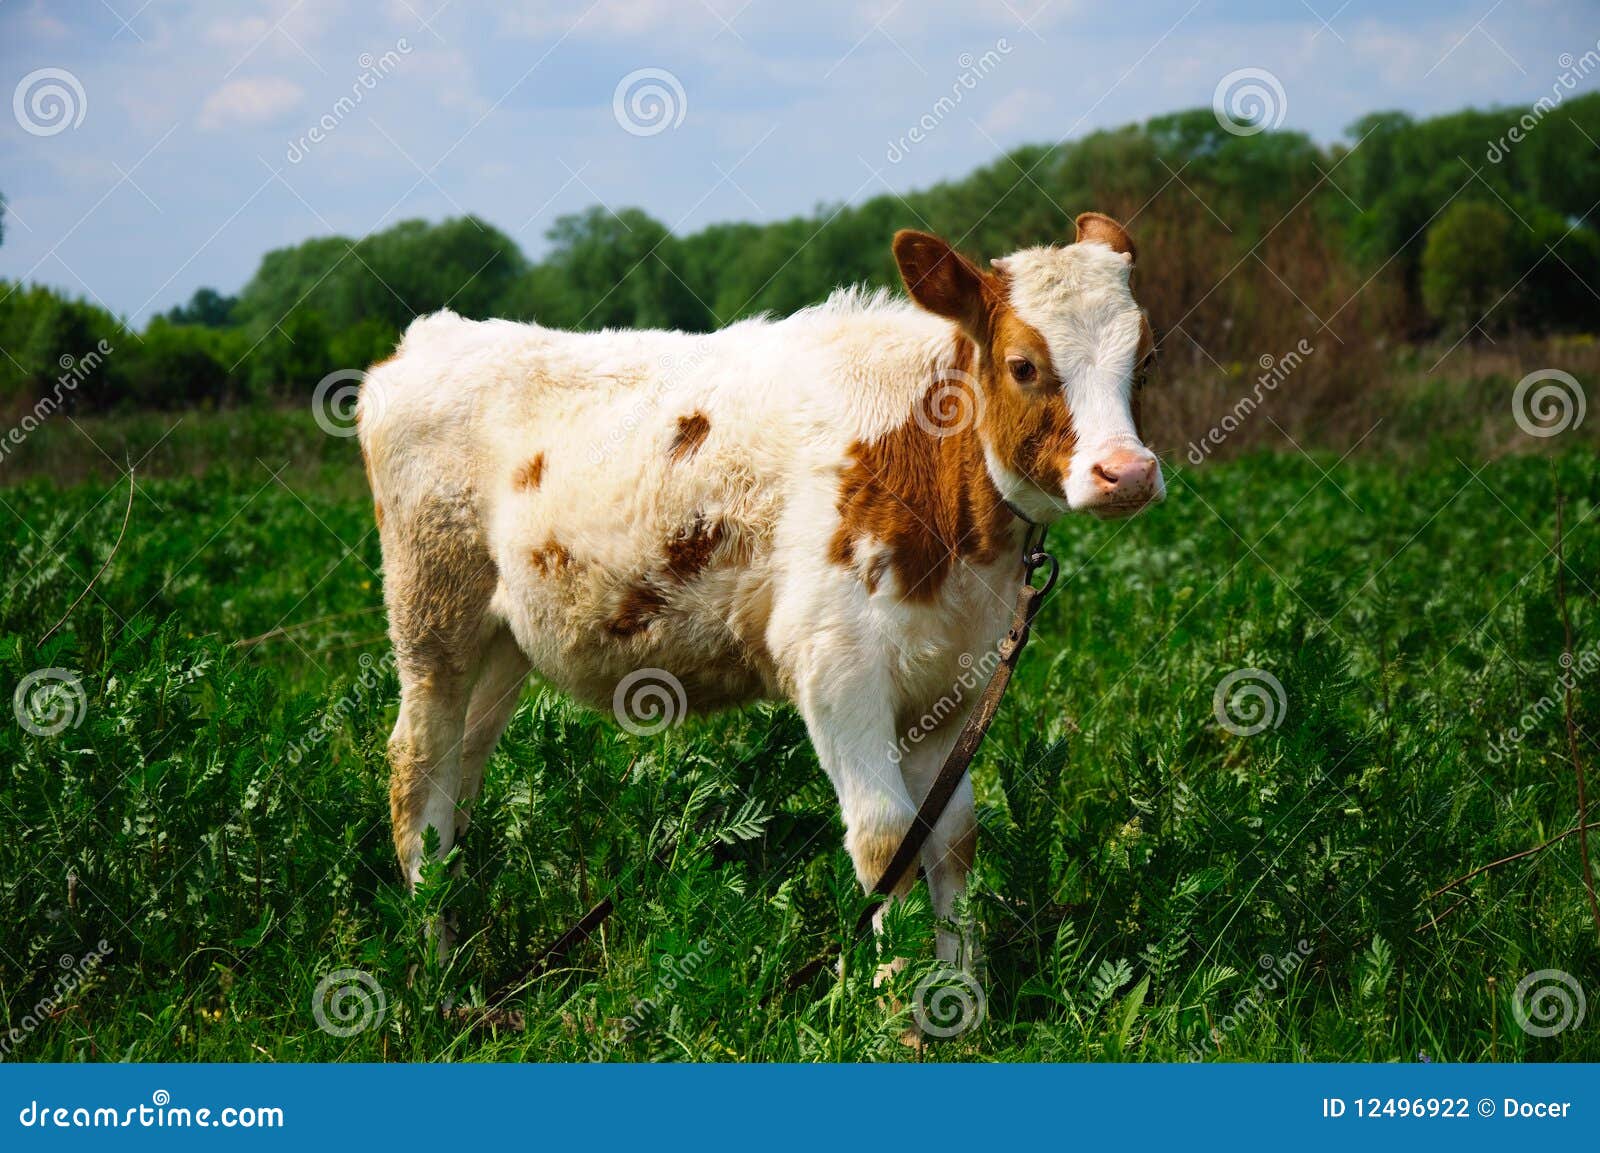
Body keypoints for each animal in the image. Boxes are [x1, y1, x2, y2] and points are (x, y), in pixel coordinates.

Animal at [357, 212, 1162, 970]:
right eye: (1024, 365)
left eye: (1146, 360)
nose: (1127, 472)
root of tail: (433, 337)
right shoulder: (837, 669)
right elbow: (887, 842)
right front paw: (897, 1003)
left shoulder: (952, 680)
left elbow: (951, 838)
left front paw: (962, 999)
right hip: (433, 620)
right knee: (417, 776)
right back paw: (435, 969)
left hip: (501, 645)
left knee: (460, 779)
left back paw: (463, 941)